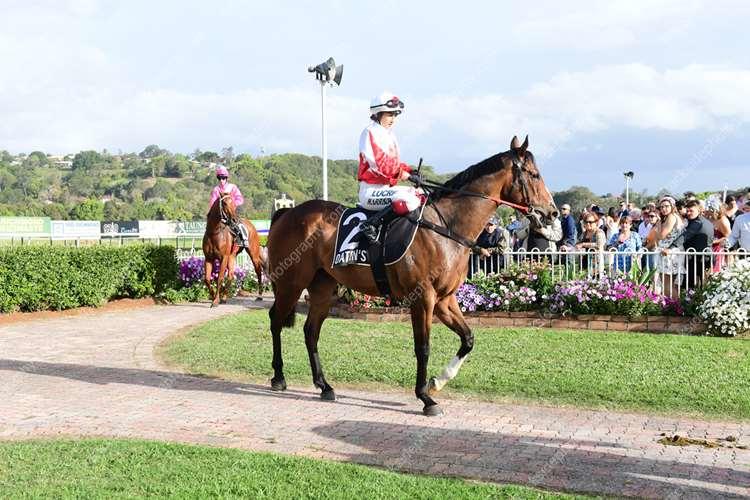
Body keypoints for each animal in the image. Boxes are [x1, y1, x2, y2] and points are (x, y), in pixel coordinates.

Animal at [266, 136, 557, 415]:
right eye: (533, 174)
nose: (552, 212)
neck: (446, 227)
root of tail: (287, 212)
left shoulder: (445, 300)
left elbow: (468, 338)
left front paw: (438, 381)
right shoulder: (423, 298)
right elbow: (423, 347)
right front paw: (426, 397)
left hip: (323, 287)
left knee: (310, 331)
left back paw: (324, 385)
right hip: (291, 283)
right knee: (276, 319)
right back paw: (279, 377)